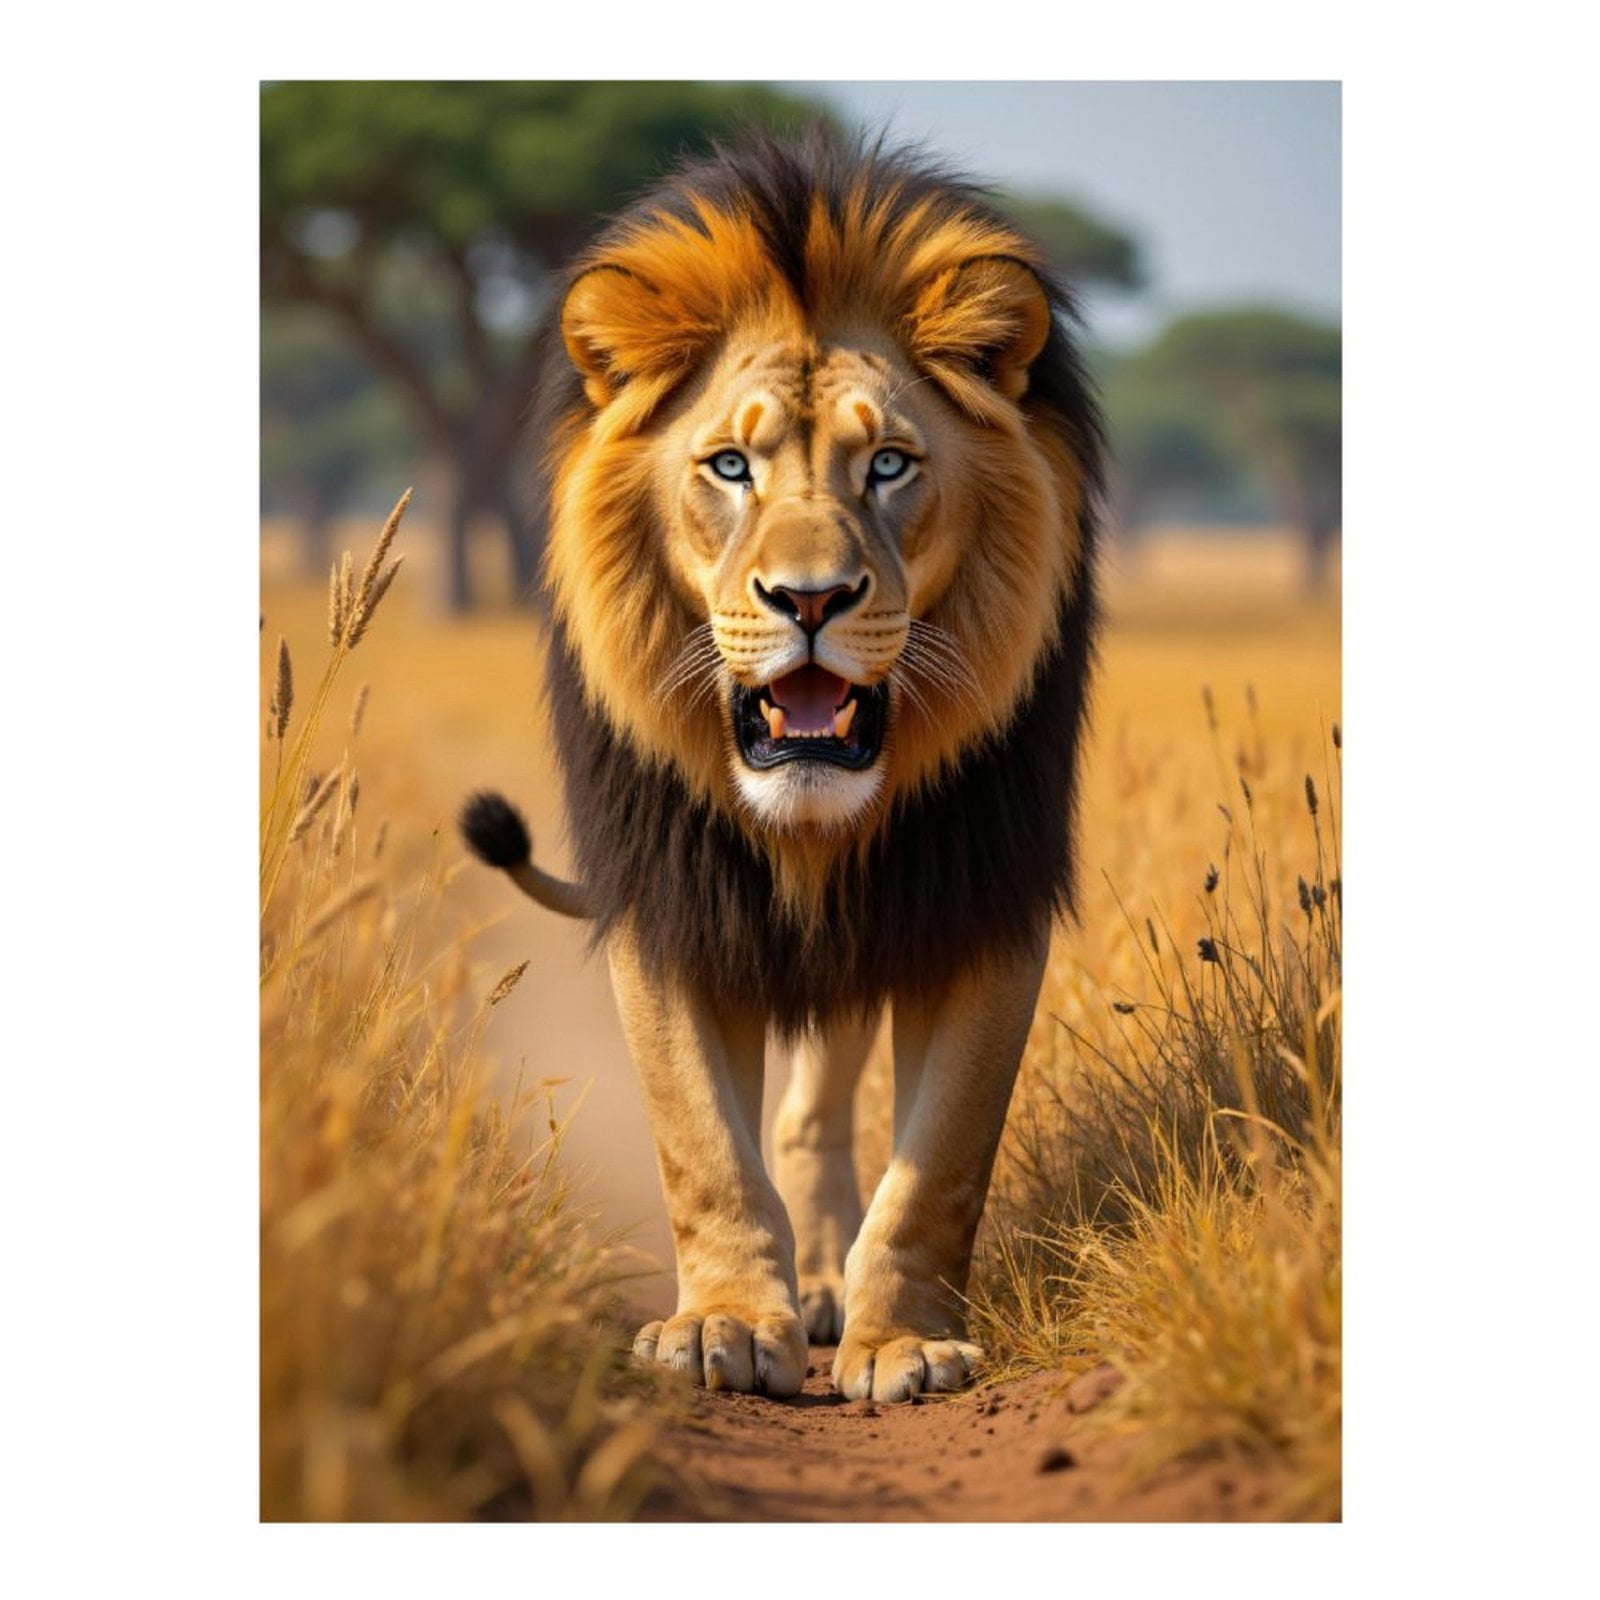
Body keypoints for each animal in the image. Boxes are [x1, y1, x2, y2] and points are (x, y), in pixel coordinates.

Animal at [462, 130, 1103, 1403]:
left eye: (890, 465)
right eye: (728, 466)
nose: (810, 600)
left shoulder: (982, 893)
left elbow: (939, 1160)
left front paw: (900, 1338)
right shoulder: (672, 894)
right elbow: (702, 1143)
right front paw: (719, 1325)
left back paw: (827, 1284)